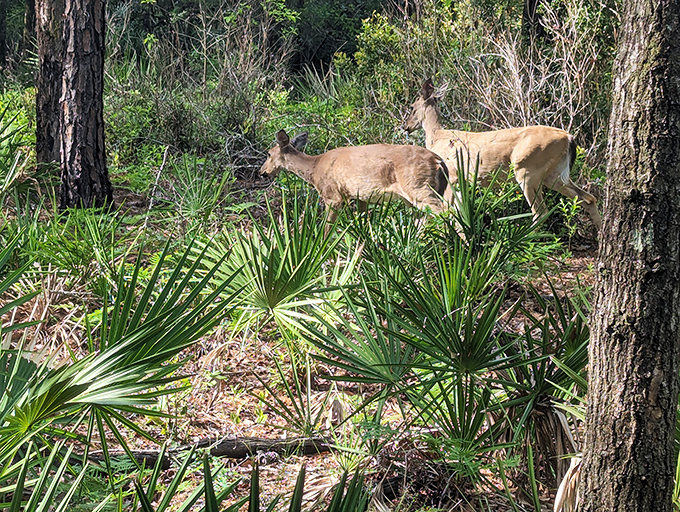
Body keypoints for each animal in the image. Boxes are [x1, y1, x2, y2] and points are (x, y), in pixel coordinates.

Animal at [259, 130, 449, 233]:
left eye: (268, 154)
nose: (261, 173)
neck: (314, 168)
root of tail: (439, 161)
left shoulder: (333, 196)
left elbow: (326, 228)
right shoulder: (360, 197)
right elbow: (363, 224)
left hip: (418, 187)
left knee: (446, 212)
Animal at [403, 79, 602, 229]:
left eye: (412, 107)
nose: (405, 127)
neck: (436, 137)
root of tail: (569, 137)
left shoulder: (452, 174)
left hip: (527, 169)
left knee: (540, 212)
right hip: (553, 174)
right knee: (588, 198)